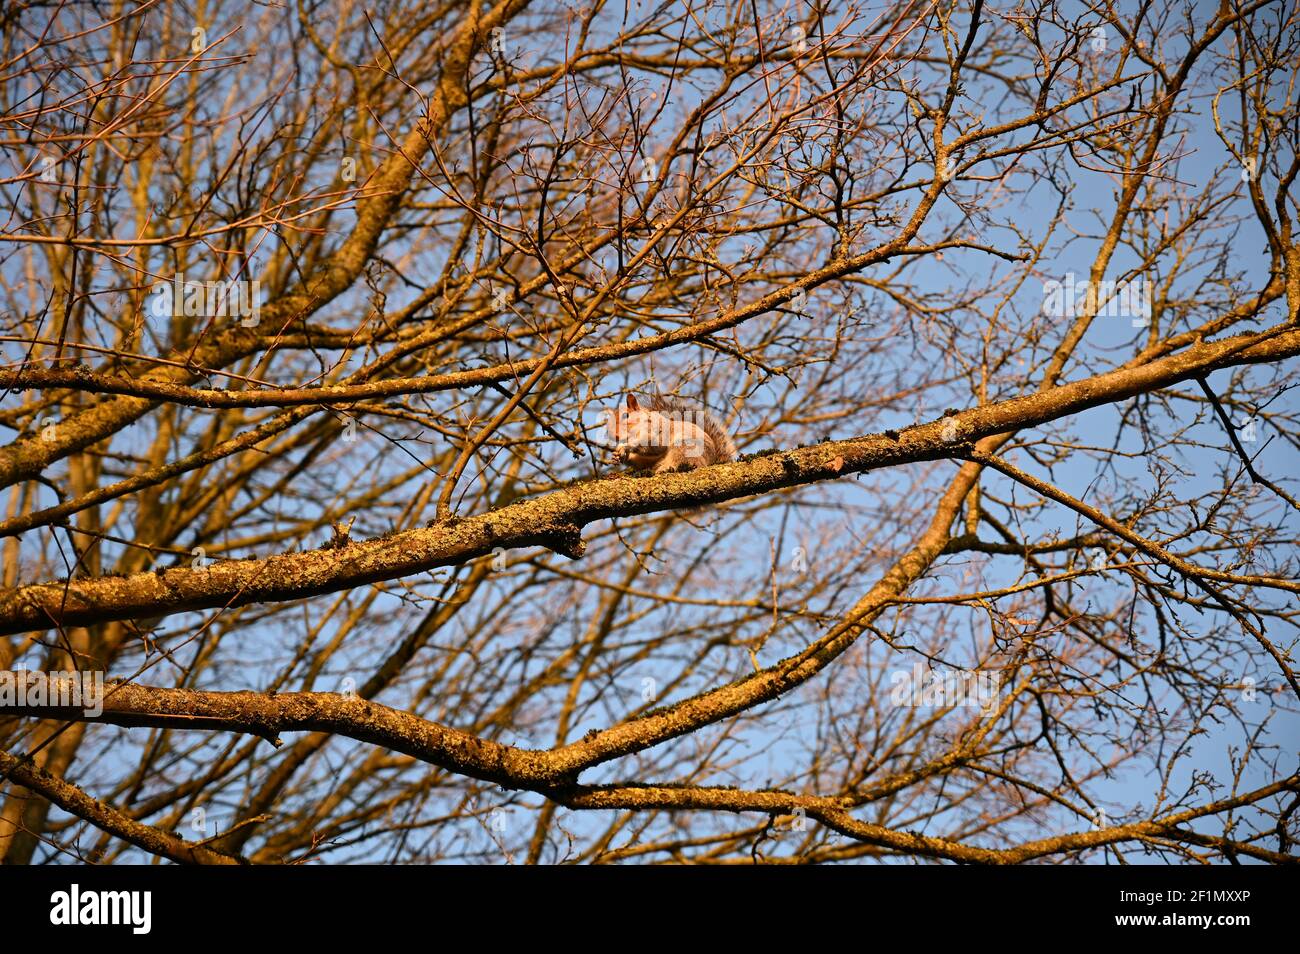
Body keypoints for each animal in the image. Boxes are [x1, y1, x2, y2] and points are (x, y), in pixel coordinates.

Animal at [606, 393, 737, 474]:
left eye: (626, 416)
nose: (614, 436)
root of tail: (711, 461)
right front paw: (617, 457)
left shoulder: (658, 430)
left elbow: (654, 445)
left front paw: (626, 447)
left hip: (685, 446)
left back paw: (666, 468)